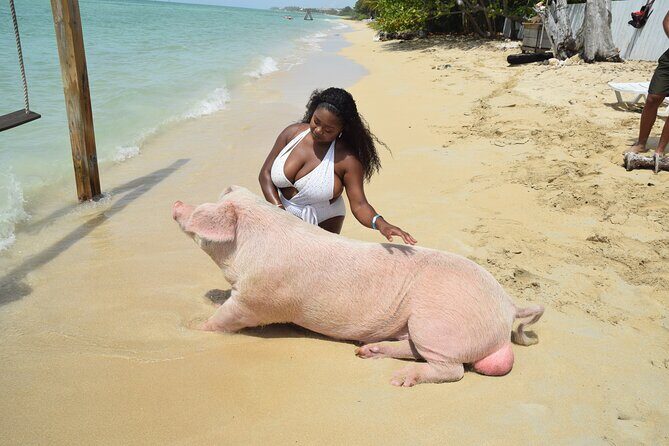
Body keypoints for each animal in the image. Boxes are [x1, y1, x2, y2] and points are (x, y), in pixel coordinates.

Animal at [173, 186, 544, 387]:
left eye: (205, 210)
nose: (176, 203)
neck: (250, 249)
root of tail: (508, 304)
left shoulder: (258, 299)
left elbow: (226, 319)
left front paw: (191, 327)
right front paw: (211, 299)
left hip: (437, 324)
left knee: (451, 369)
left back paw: (399, 380)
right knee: (412, 349)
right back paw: (366, 352)